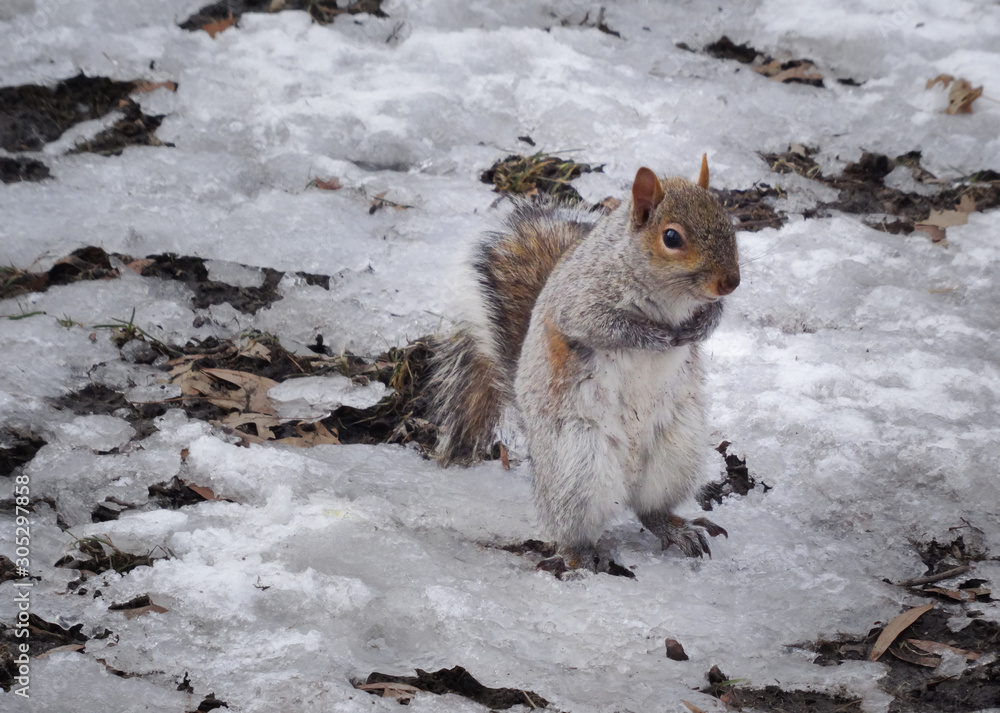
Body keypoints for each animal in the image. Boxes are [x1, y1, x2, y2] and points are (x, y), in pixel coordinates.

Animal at [429, 156, 740, 571]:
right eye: (672, 237)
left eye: (728, 221)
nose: (731, 282)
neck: (670, 297)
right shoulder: (581, 300)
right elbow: (604, 325)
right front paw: (657, 336)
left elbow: (713, 314)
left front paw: (702, 325)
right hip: (578, 464)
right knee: (572, 527)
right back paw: (580, 555)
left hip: (677, 450)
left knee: (650, 509)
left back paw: (678, 529)